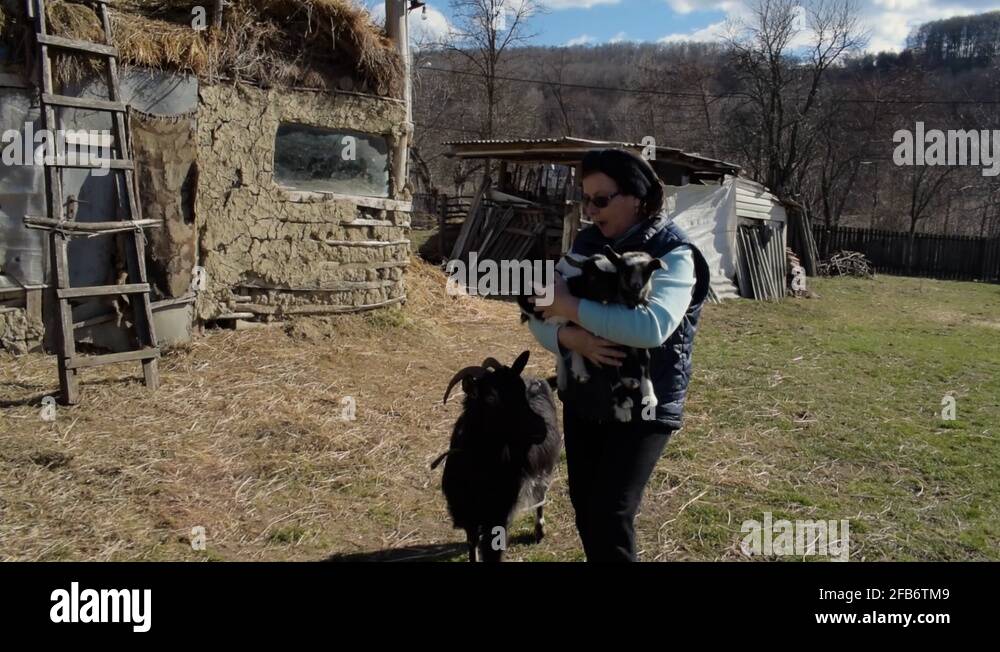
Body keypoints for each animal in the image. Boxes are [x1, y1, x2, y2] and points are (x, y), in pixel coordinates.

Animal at [433, 351, 561, 562]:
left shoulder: (498, 513)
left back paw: (539, 530)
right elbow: (472, 547)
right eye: (491, 397)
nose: (540, 429)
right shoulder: (467, 513)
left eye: (521, 390)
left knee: (540, 494)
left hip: (544, 466)